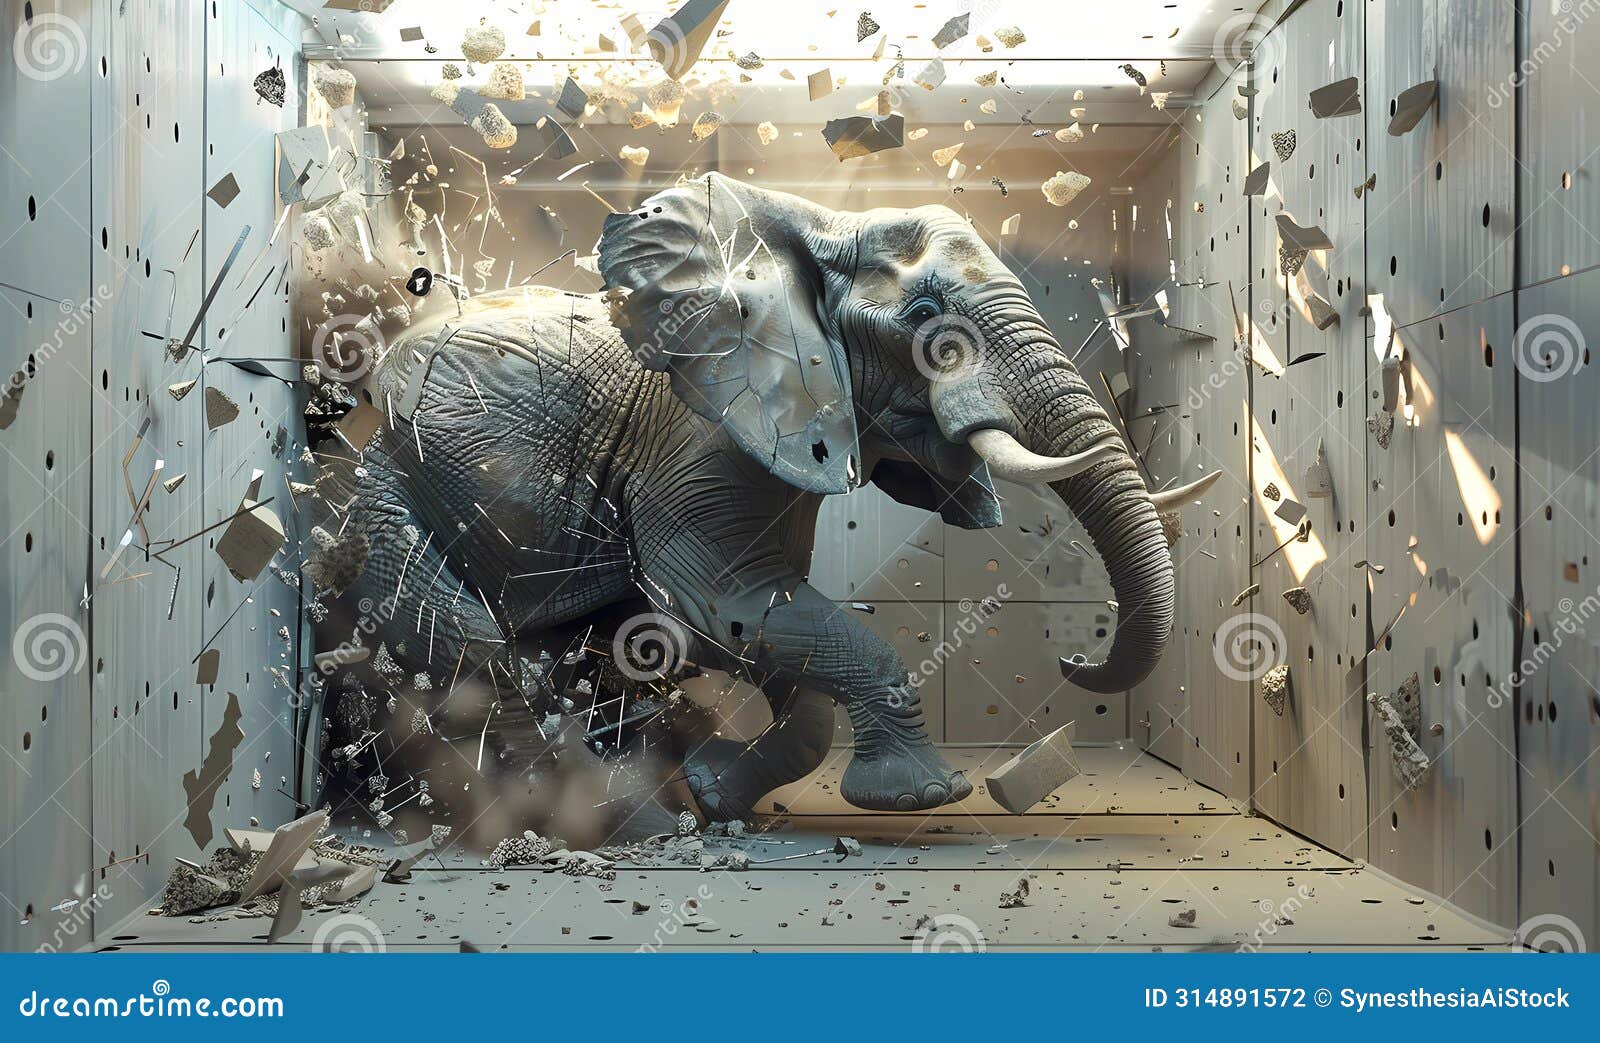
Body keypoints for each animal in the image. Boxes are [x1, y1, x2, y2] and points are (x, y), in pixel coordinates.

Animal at [316, 173, 1216, 824]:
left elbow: (770, 628)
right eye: (929, 320)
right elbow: (716, 602)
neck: (816, 230)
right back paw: (579, 810)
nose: (1075, 659)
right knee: (464, 646)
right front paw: (925, 798)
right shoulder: (699, 437)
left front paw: (719, 791)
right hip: (395, 489)